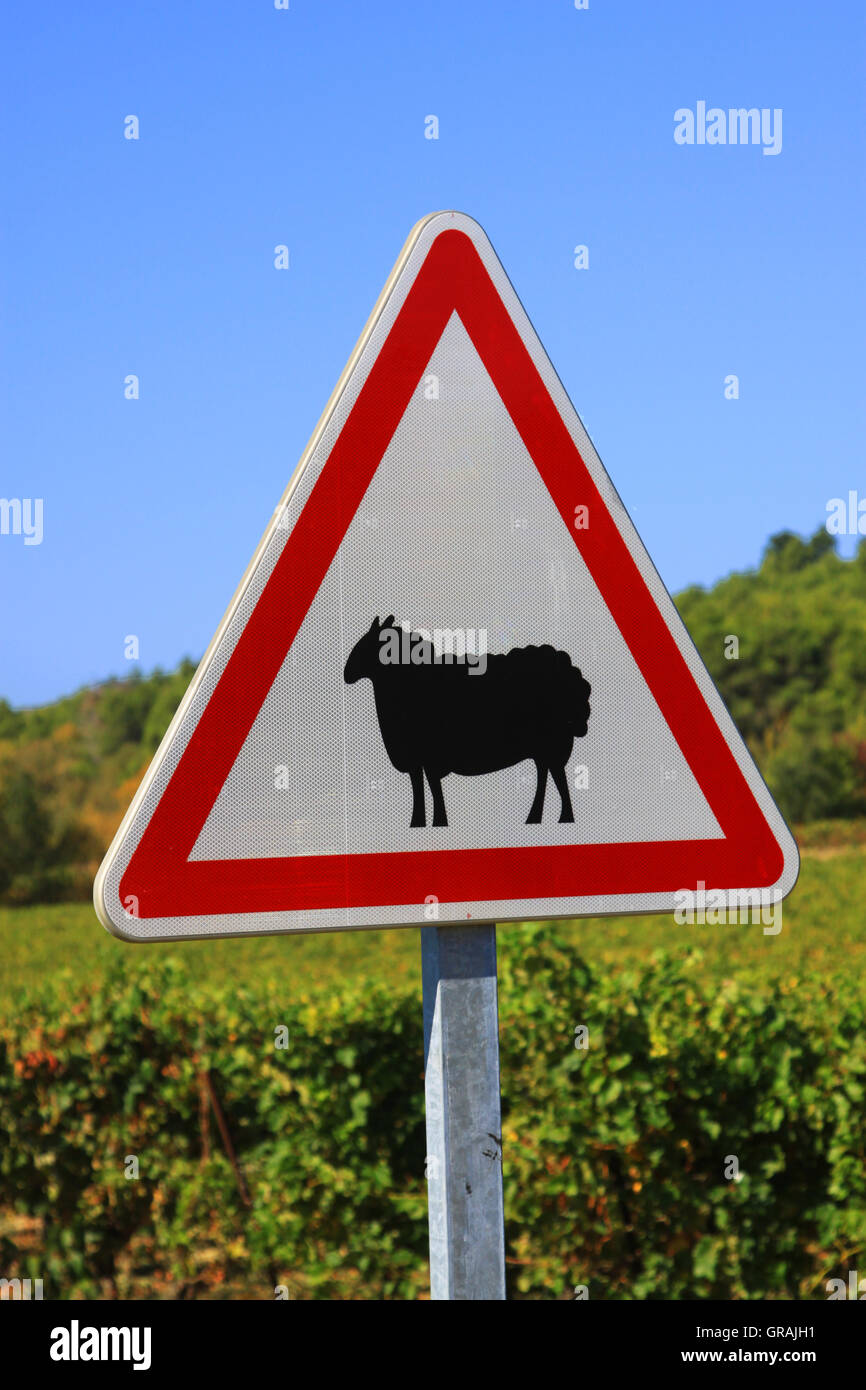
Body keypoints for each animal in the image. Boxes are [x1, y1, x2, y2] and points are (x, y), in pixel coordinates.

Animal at [343, 616, 591, 828]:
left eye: (366, 646)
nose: (346, 673)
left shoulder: (430, 757)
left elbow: (433, 789)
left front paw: (438, 822)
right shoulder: (417, 760)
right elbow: (419, 789)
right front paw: (419, 823)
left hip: (552, 745)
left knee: (557, 777)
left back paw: (558, 818)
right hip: (544, 749)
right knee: (547, 775)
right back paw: (538, 818)